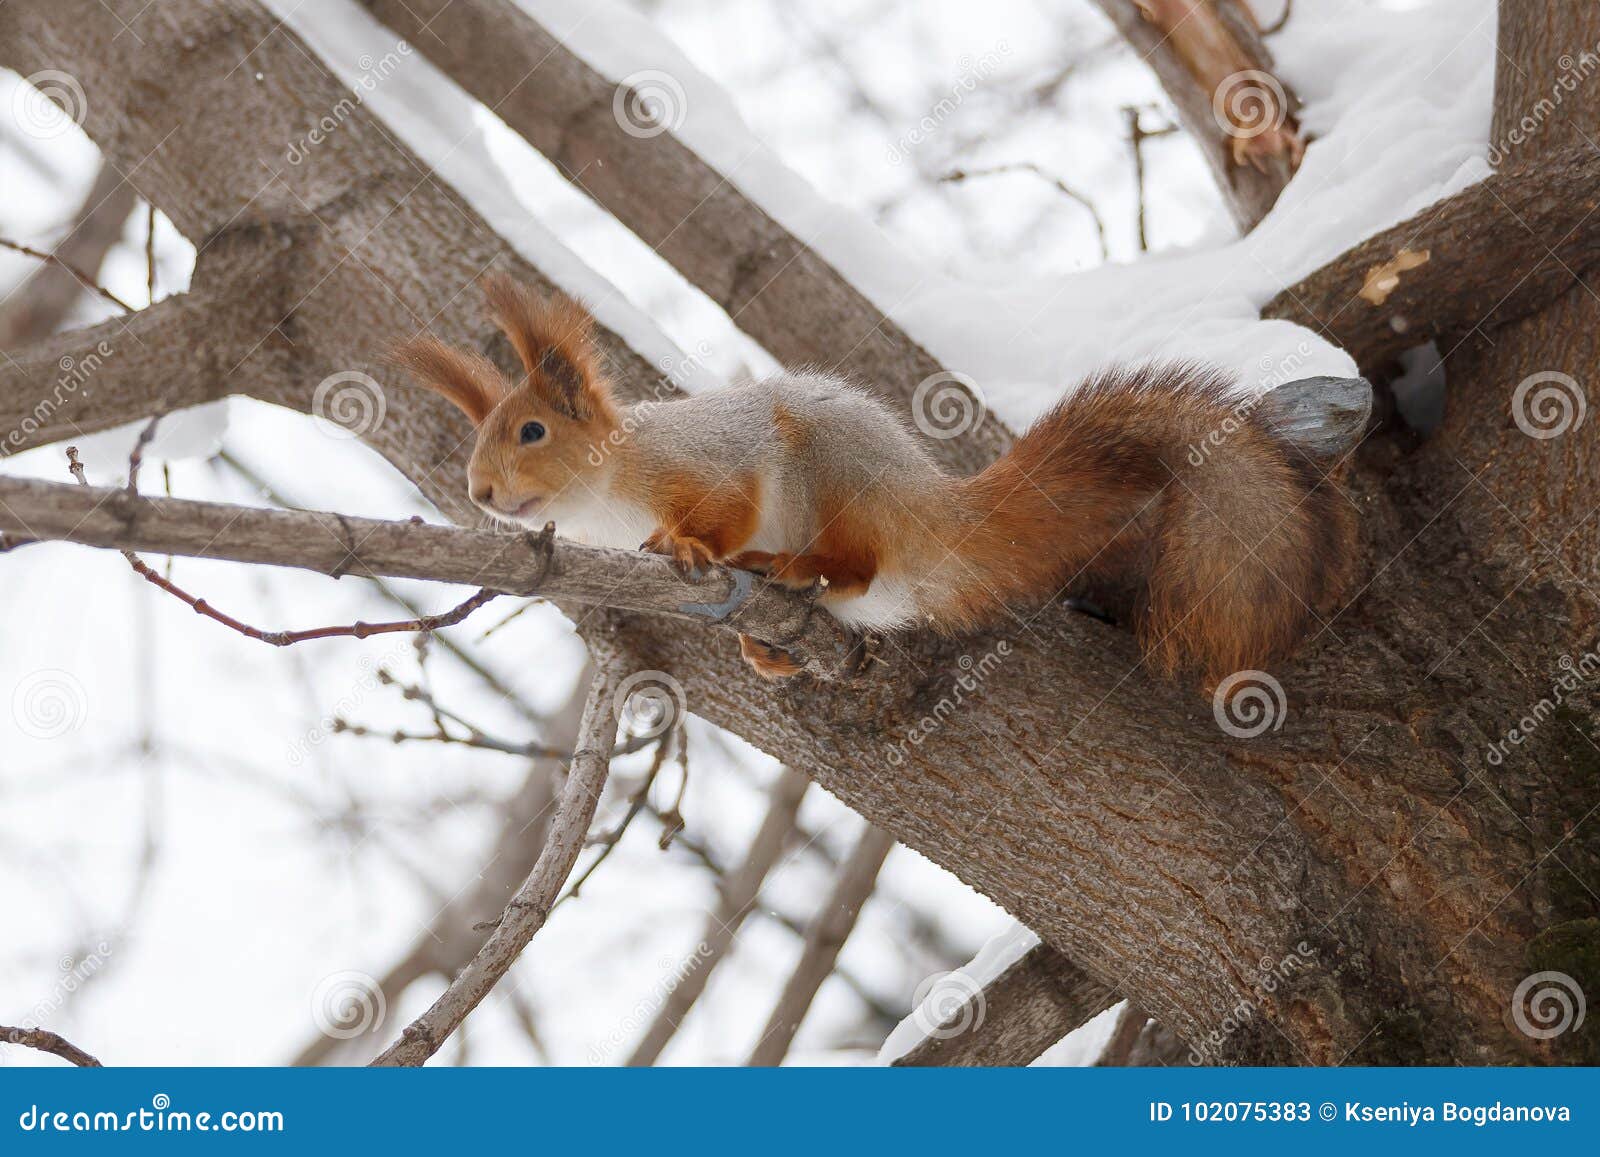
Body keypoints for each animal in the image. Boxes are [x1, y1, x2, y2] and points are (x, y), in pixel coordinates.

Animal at [398, 273, 1369, 685]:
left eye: (532, 430)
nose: (481, 493)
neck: (609, 488)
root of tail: (929, 516)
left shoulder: (713, 457)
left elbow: (722, 507)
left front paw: (687, 544)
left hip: (833, 480)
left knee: (854, 563)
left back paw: (786, 569)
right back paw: (771, 639)